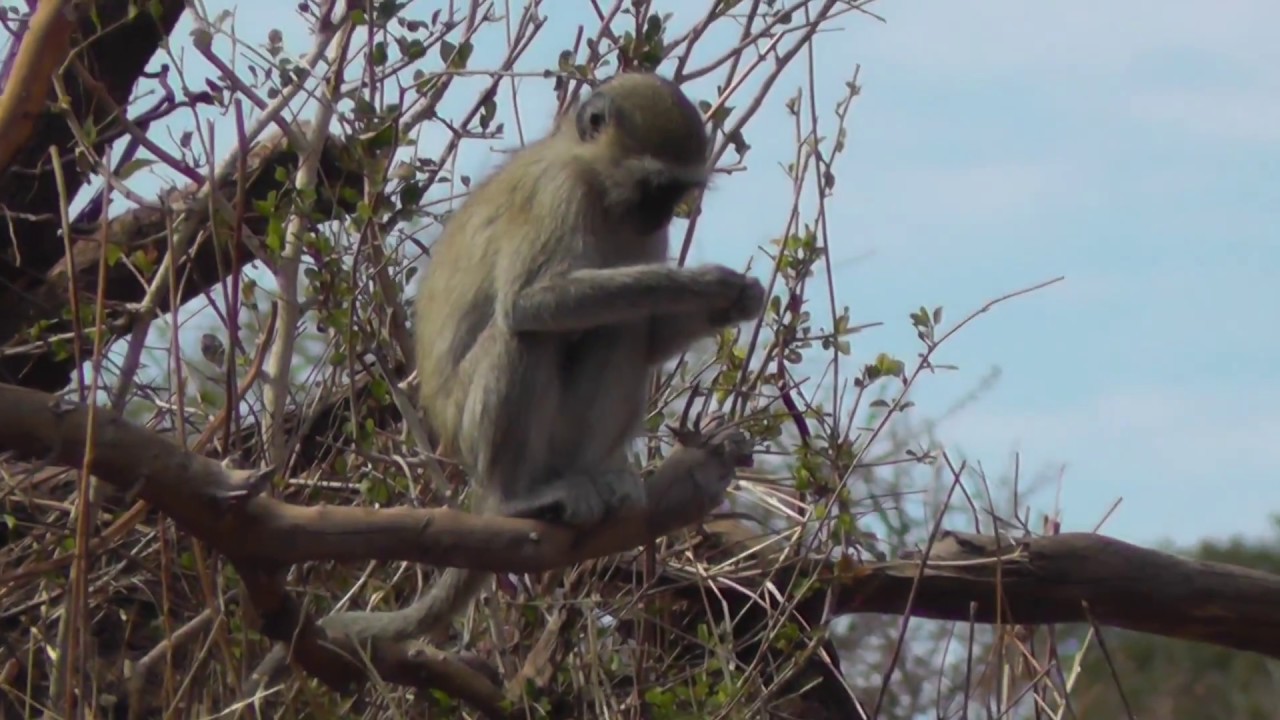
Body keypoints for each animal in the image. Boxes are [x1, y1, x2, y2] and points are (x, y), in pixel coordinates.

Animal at [326, 72, 766, 644]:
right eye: (657, 187)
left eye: (675, 193)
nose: (663, 214)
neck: (597, 185)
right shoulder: (559, 193)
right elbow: (528, 304)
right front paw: (703, 284)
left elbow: (647, 337)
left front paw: (737, 301)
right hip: (472, 432)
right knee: (527, 335)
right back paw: (517, 499)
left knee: (618, 328)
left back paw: (599, 480)